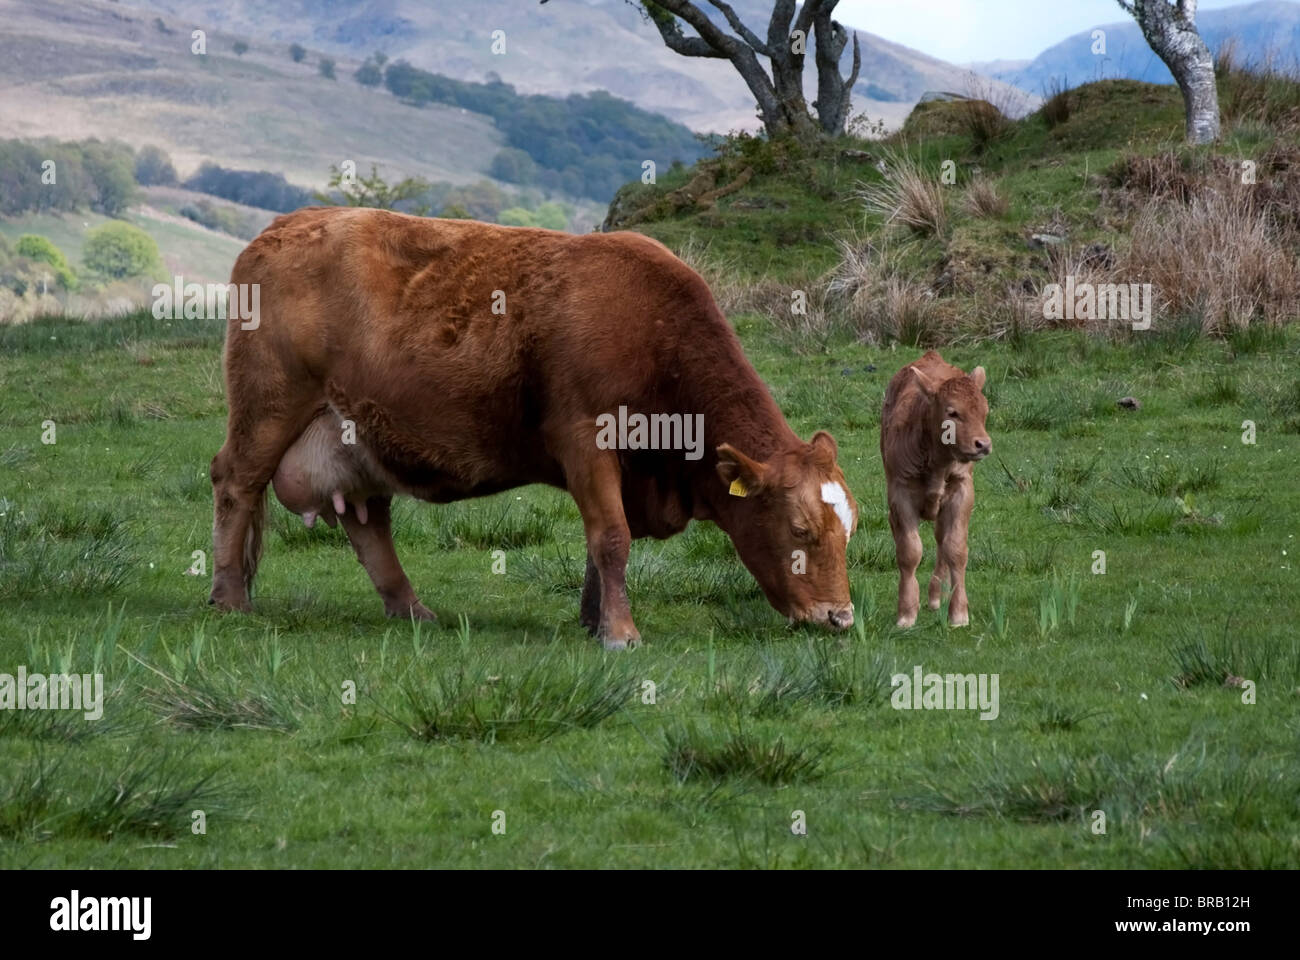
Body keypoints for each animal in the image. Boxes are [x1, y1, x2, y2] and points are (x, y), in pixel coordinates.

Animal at [208, 207, 859, 649]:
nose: (840, 616)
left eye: (848, 529)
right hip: (267, 408)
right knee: (235, 484)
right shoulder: (586, 439)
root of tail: (287, 224)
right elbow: (612, 537)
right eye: (800, 530)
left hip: (357, 436)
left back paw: (412, 610)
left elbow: (601, 541)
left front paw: (594, 619)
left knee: (368, 524)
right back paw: (228, 597)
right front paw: (620, 632)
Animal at [880, 351, 991, 628]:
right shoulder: (899, 494)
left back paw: (936, 595)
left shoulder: (962, 491)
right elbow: (909, 551)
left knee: (942, 541)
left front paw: (959, 613)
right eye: (953, 412)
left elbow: (956, 549)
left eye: (984, 410)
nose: (983, 444)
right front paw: (906, 613)